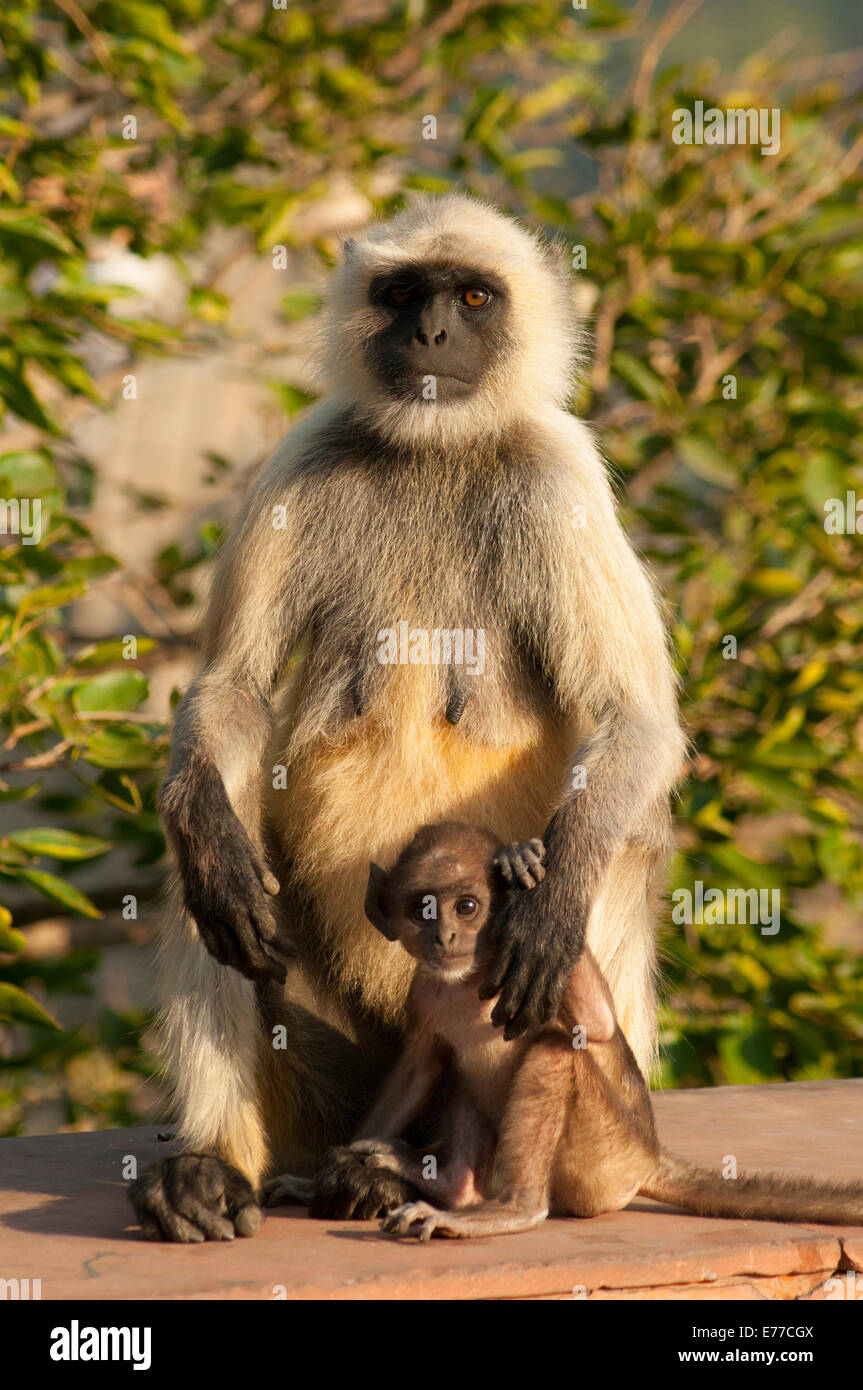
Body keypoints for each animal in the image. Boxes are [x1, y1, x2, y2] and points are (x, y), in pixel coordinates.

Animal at [129, 193, 685, 1242]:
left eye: (470, 297)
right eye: (402, 294)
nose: (429, 334)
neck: (435, 452)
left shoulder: (559, 474)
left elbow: (634, 723)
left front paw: (548, 902)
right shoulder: (307, 453)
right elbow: (232, 690)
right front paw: (210, 833)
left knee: (624, 838)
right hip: (334, 1083)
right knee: (207, 853)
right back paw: (221, 1168)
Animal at [341, 822, 863, 1240]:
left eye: (466, 906)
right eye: (421, 909)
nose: (444, 936)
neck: (468, 982)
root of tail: (649, 1154)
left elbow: (594, 1024)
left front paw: (520, 868)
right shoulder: (425, 992)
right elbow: (421, 1065)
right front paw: (335, 1167)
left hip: (605, 1160)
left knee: (554, 1049)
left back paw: (512, 1211)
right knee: (467, 1066)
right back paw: (455, 1189)